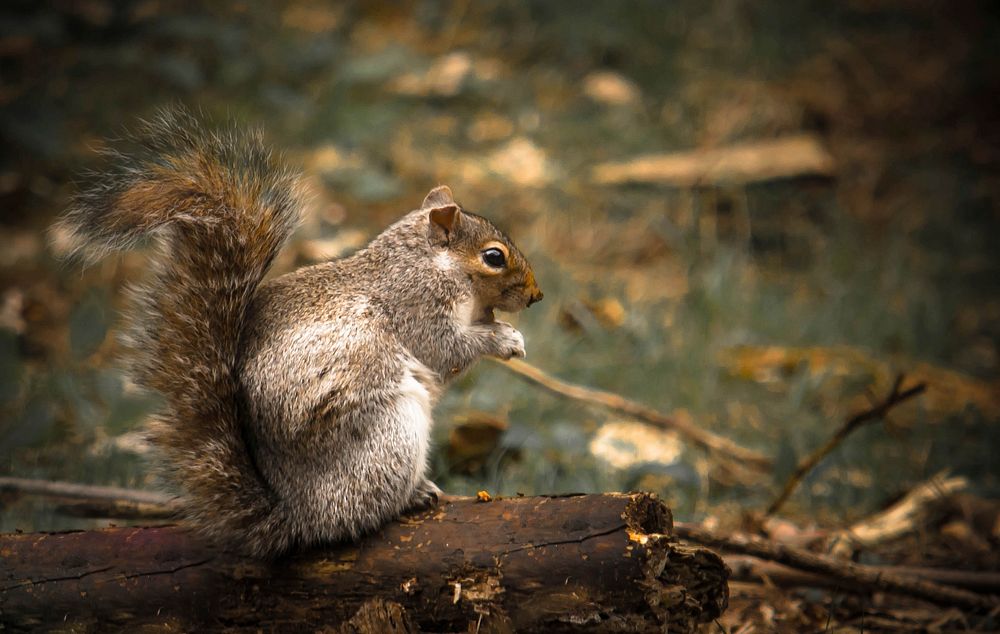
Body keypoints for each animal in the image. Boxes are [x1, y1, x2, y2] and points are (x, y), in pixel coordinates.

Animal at [54, 108, 543, 558]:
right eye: (494, 257)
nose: (537, 296)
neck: (427, 263)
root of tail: (298, 517)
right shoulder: (416, 308)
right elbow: (447, 349)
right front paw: (505, 339)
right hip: (389, 435)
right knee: (365, 510)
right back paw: (413, 495)